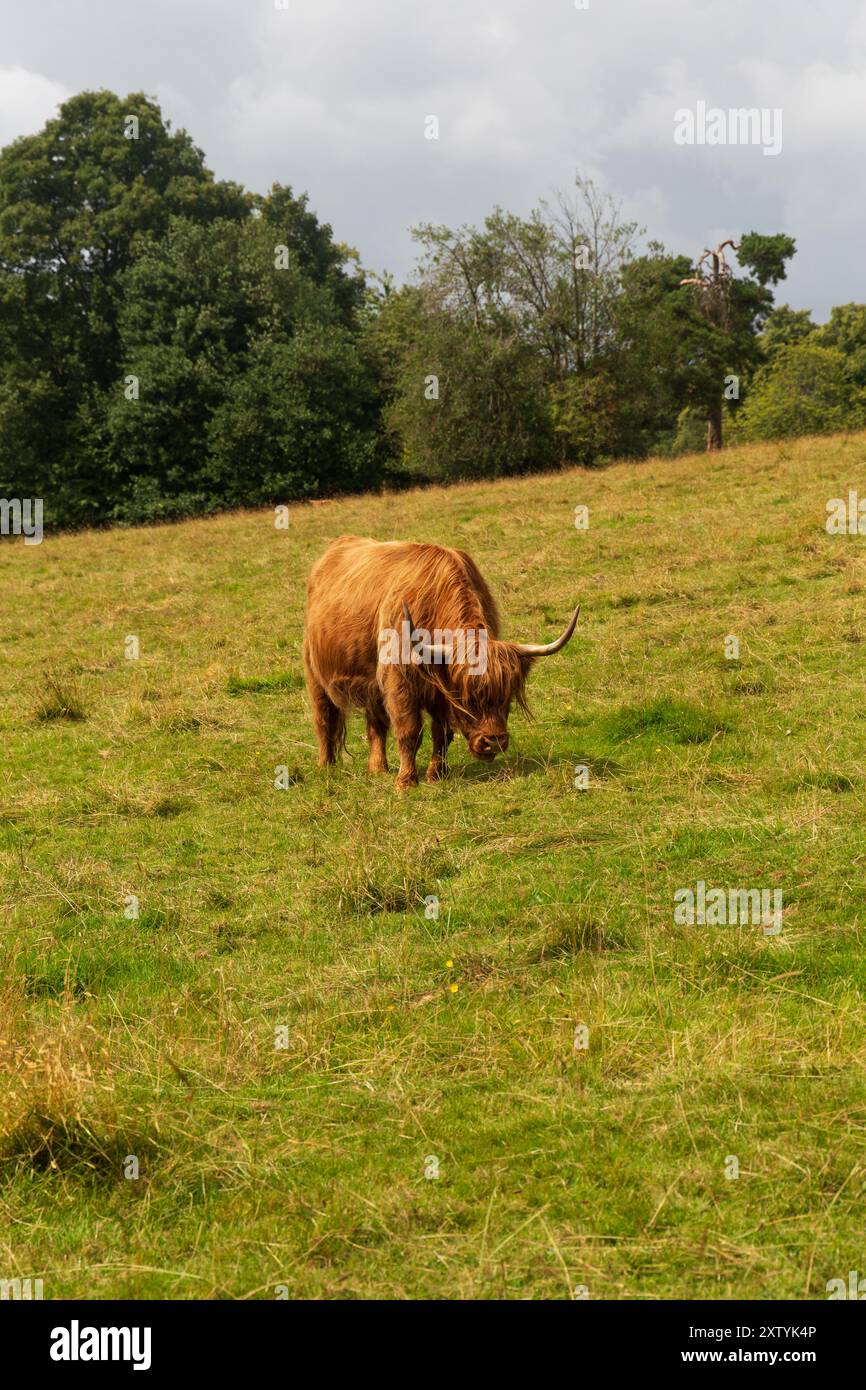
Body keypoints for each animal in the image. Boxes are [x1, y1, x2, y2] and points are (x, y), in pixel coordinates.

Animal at [303, 534, 579, 790]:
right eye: (469, 699)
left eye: (506, 697)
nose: (494, 741)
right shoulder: (401, 682)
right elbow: (409, 731)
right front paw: (406, 782)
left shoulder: (439, 690)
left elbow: (442, 733)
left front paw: (436, 774)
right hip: (315, 673)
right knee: (325, 718)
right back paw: (327, 765)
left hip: (372, 680)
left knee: (376, 723)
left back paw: (378, 768)